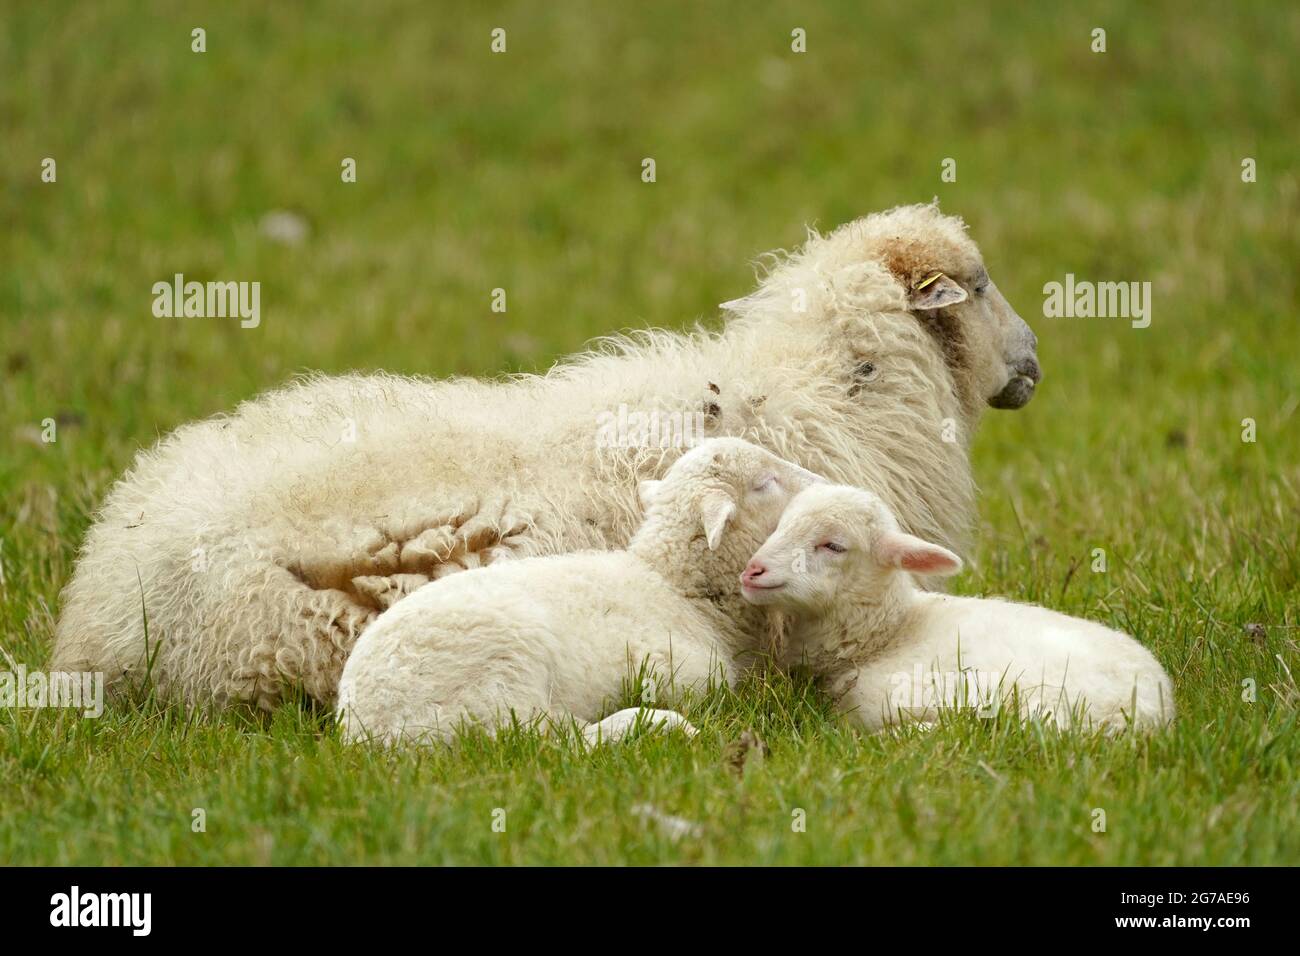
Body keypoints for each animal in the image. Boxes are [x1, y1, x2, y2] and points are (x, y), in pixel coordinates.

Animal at [336, 438, 823, 745]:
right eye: (763, 483)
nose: (822, 484)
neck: (677, 587)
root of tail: (369, 732)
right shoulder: (675, 669)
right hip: (501, 679)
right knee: (542, 739)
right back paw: (660, 725)